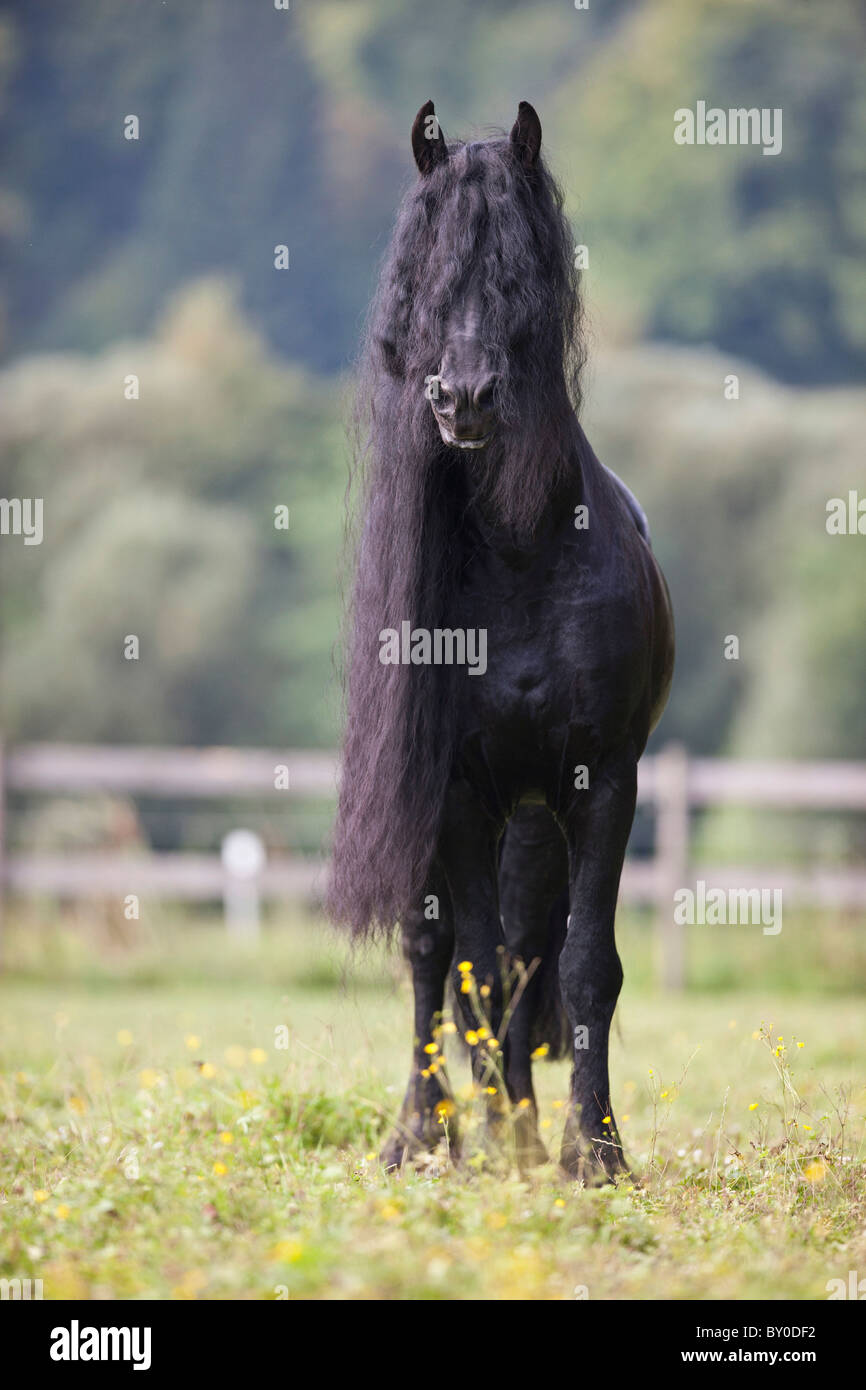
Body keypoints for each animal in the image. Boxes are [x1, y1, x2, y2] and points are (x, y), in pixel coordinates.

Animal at [328, 99, 674, 1182]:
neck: (524, 564)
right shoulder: (453, 796)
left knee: (524, 956)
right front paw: (502, 1144)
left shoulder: (602, 782)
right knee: (430, 959)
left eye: (521, 266)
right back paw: (425, 1132)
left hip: (530, 827)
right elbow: (470, 972)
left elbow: (583, 967)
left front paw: (588, 1149)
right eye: (427, 269)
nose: (464, 400)